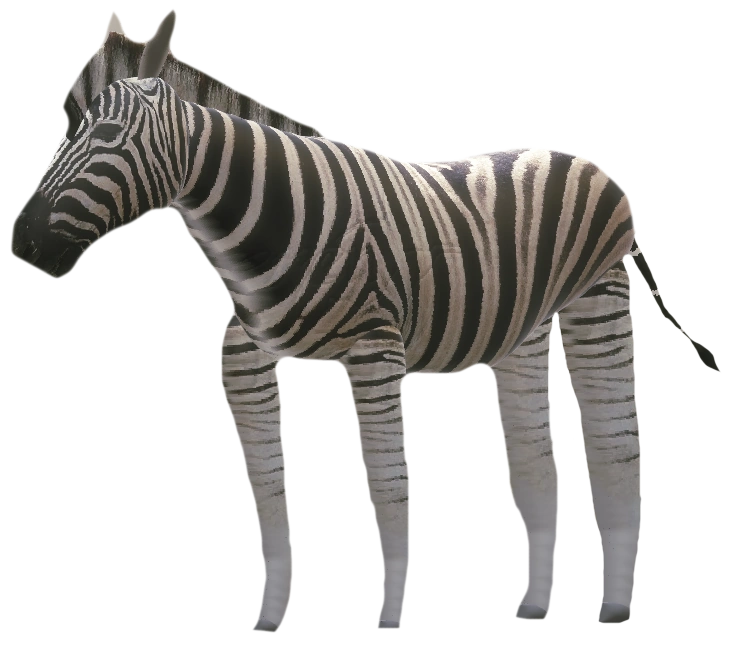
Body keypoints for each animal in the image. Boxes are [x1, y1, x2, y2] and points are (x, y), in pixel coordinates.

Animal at [9, 9, 725, 631]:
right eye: (65, 129)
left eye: (107, 138)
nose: (23, 242)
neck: (255, 222)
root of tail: (577, 155)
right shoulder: (243, 355)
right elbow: (269, 487)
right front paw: (270, 619)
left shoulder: (375, 348)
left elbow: (388, 487)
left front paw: (389, 622)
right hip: (526, 329)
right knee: (536, 453)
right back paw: (532, 607)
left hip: (597, 303)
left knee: (618, 447)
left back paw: (618, 605)